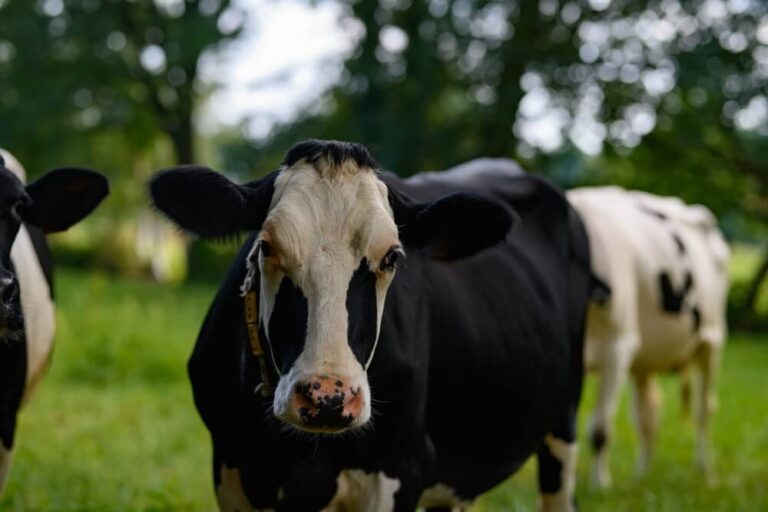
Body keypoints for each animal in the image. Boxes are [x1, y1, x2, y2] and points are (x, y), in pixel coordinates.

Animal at [149, 140, 591, 511]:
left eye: (392, 256)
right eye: (266, 247)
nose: (328, 396)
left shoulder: (399, 471)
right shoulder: (234, 469)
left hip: (564, 421)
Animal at [566, 186, 729, 488]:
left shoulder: (617, 348)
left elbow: (600, 429)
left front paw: (599, 485)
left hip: (711, 342)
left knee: (704, 410)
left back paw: (705, 471)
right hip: (645, 360)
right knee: (648, 415)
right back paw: (641, 475)